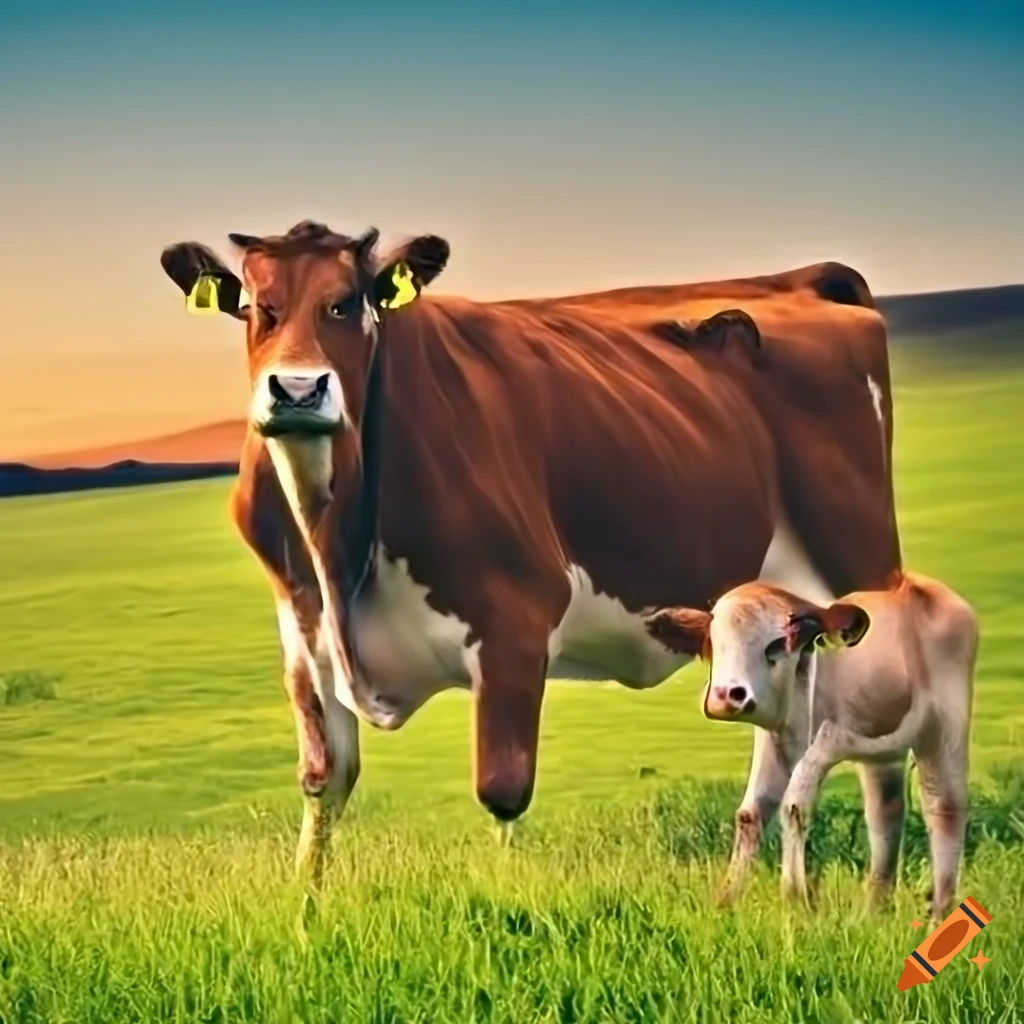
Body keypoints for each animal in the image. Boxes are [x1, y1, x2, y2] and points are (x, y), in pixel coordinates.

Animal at [158, 220, 901, 886]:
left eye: (347, 301)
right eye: (256, 307)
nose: (296, 390)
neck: (337, 543)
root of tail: (800, 279)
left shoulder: (514, 618)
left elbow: (501, 793)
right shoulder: (303, 635)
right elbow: (323, 782)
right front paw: (306, 912)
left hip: (859, 564)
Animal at [643, 573, 978, 922]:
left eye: (777, 644)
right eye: (715, 642)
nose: (726, 695)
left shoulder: (827, 739)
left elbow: (793, 805)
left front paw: (796, 899)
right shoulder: (773, 740)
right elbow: (751, 812)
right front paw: (725, 901)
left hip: (944, 732)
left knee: (944, 807)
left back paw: (939, 915)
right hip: (883, 753)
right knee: (886, 813)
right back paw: (873, 912)